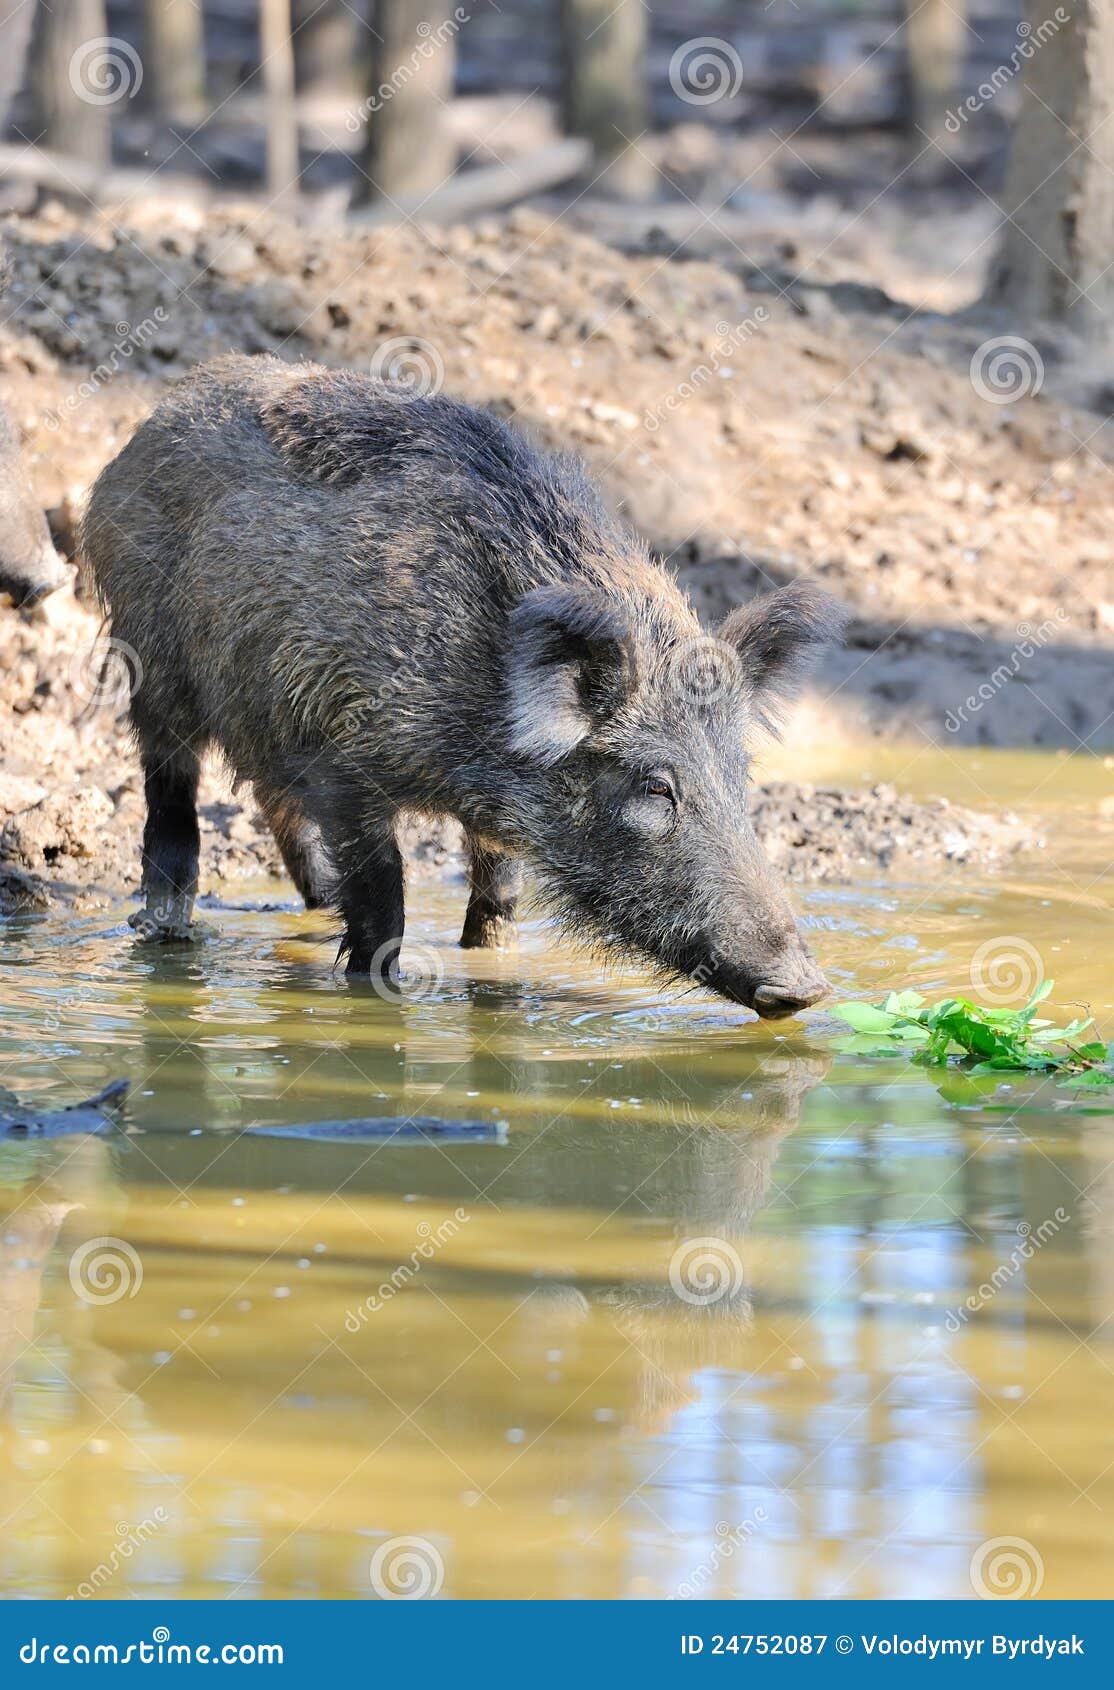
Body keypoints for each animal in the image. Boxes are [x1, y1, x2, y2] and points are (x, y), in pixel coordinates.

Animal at [83, 354, 843, 1017]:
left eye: (740, 773)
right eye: (657, 786)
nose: (806, 987)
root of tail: (156, 418)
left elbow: (498, 898)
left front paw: (490, 965)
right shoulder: (344, 760)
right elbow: (383, 905)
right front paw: (372, 994)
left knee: (274, 800)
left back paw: (313, 906)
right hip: (152, 661)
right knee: (172, 798)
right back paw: (168, 930)